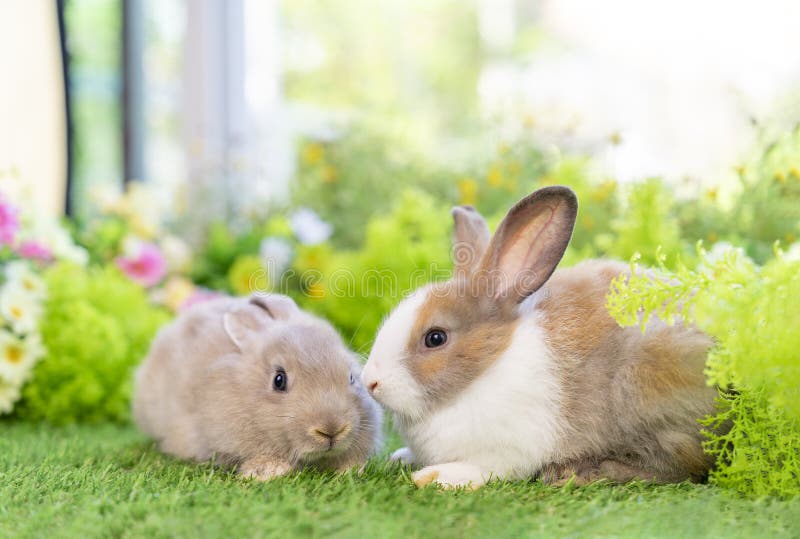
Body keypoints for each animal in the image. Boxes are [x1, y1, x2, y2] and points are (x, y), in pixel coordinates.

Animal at [361, 185, 718, 490]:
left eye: (435, 338)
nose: (370, 382)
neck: (483, 373)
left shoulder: (508, 449)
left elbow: (484, 468)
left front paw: (436, 476)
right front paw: (400, 457)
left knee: (677, 466)